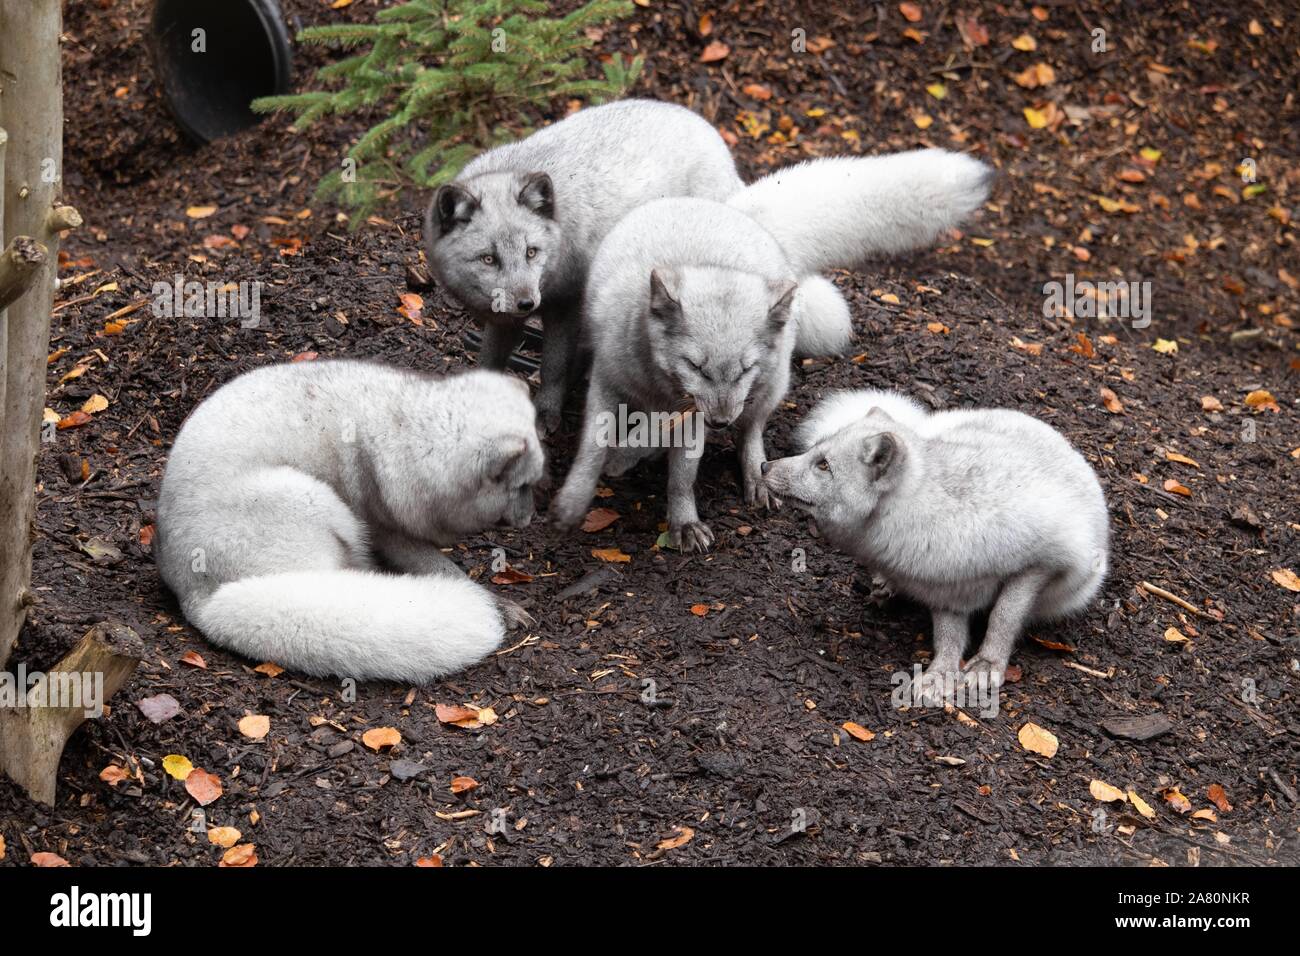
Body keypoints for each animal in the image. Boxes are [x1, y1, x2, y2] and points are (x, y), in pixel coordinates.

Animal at [154, 360, 544, 683]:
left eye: (534, 485)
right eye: (522, 487)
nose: (530, 520)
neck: (406, 424)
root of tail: (198, 598)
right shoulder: (386, 527)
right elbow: (441, 567)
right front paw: (499, 604)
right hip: (317, 502)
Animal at [548, 148, 993, 551]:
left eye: (743, 368)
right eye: (696, 366)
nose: (721, 422)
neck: (658, 386)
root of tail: (729, 210)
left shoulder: (697, 414)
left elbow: (682, 478)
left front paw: (682, 520)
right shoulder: (608, 385)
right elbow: (592, 448)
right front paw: (573, 500)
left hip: (771, 384)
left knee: (752, 433)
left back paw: (751, 475)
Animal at [761, 389, 1110, 701]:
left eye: (823, 465)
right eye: (815, 452)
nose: (765, 467)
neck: (937, 512)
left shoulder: (1041, 564)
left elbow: (1004, 616)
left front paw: (988, 663)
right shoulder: (944, 586)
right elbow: (947, 636)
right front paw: (941, 673)